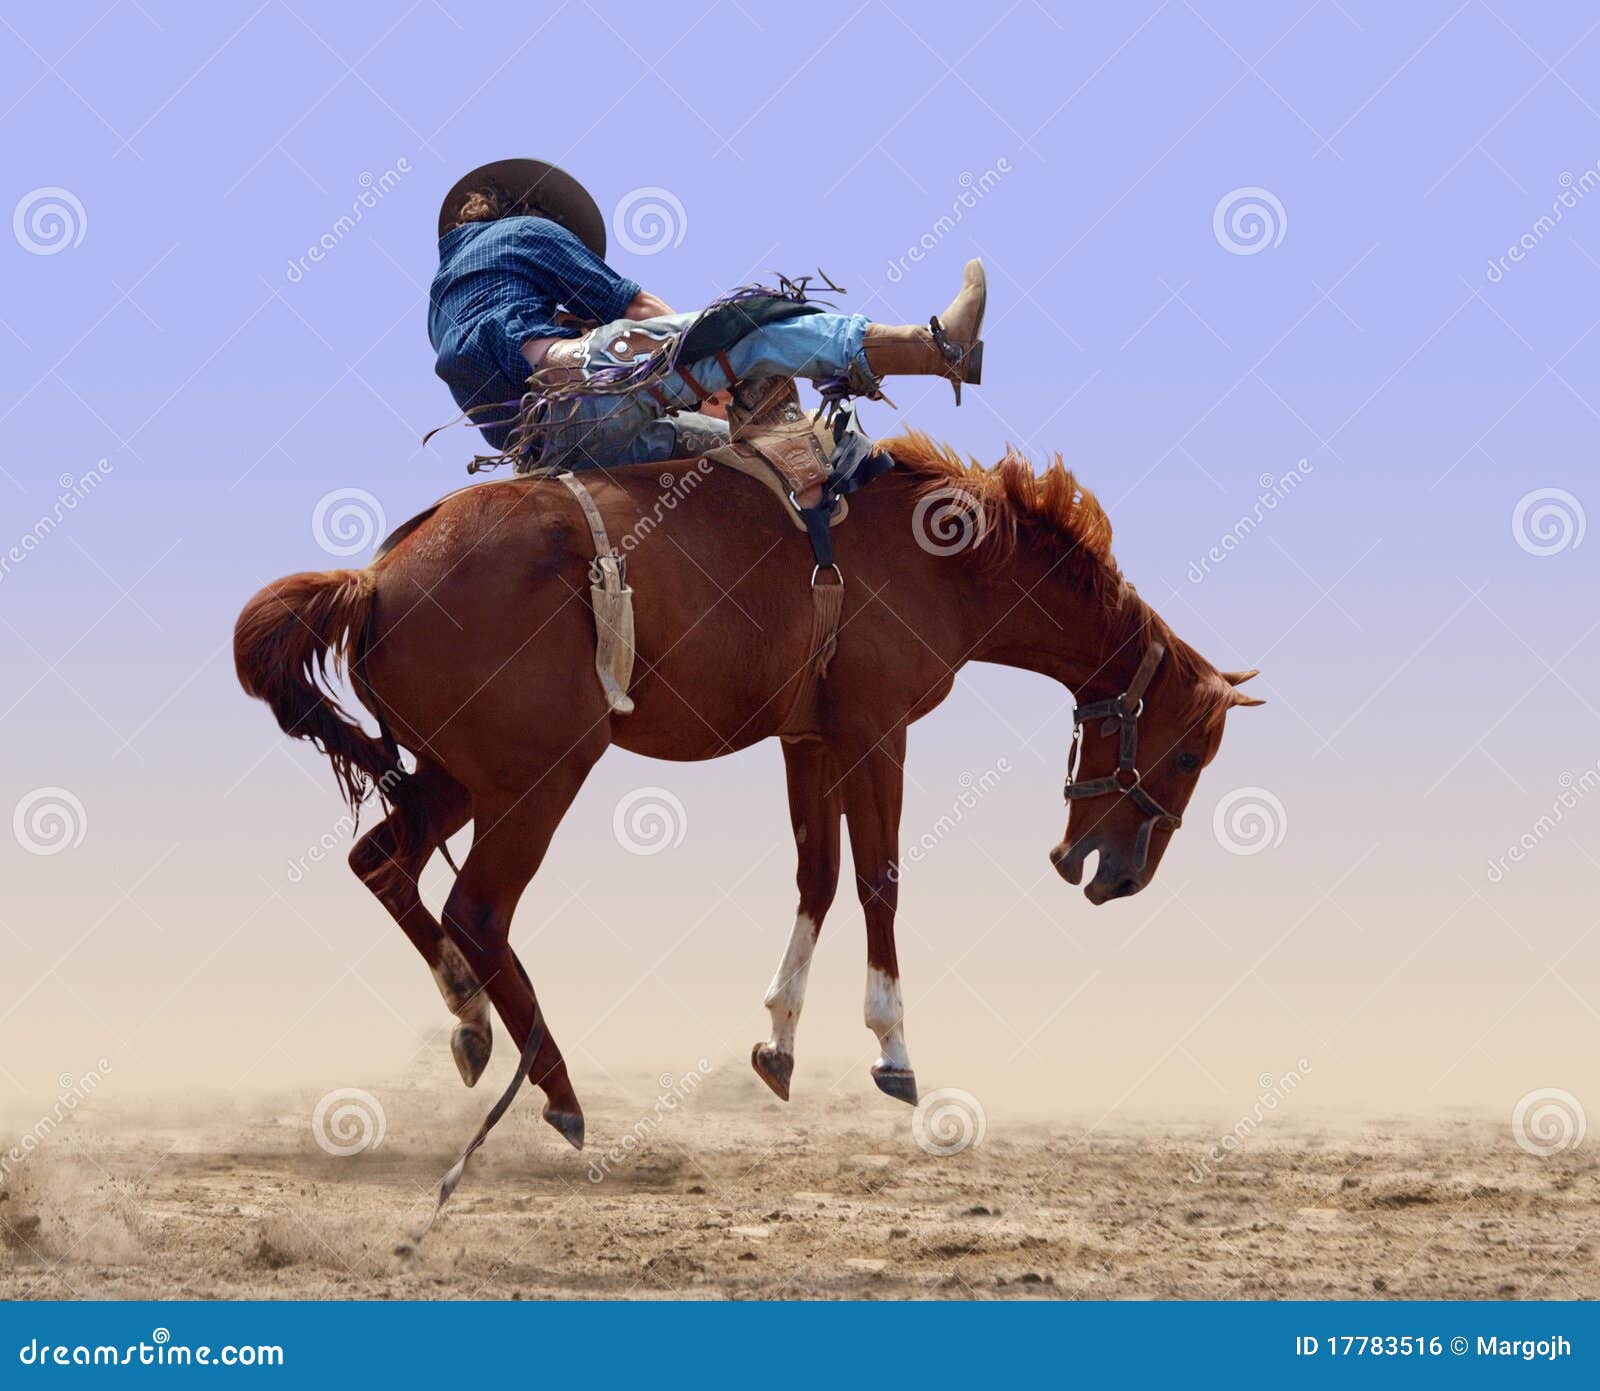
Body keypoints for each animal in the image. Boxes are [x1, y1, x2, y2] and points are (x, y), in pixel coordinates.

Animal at [234, 431, 1262, 1152]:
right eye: (1186, 758)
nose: (1117, 877)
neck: (938, 557)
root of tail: (375, 577)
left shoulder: (808, 739)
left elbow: (817, 875)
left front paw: (780, 1042)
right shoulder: (876, 732)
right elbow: (879, 879)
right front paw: (893, 1051)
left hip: (456, 774)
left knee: (384, 862)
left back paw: (473, 1023)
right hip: (542, 776)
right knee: (477, 911)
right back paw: (558, 1090)